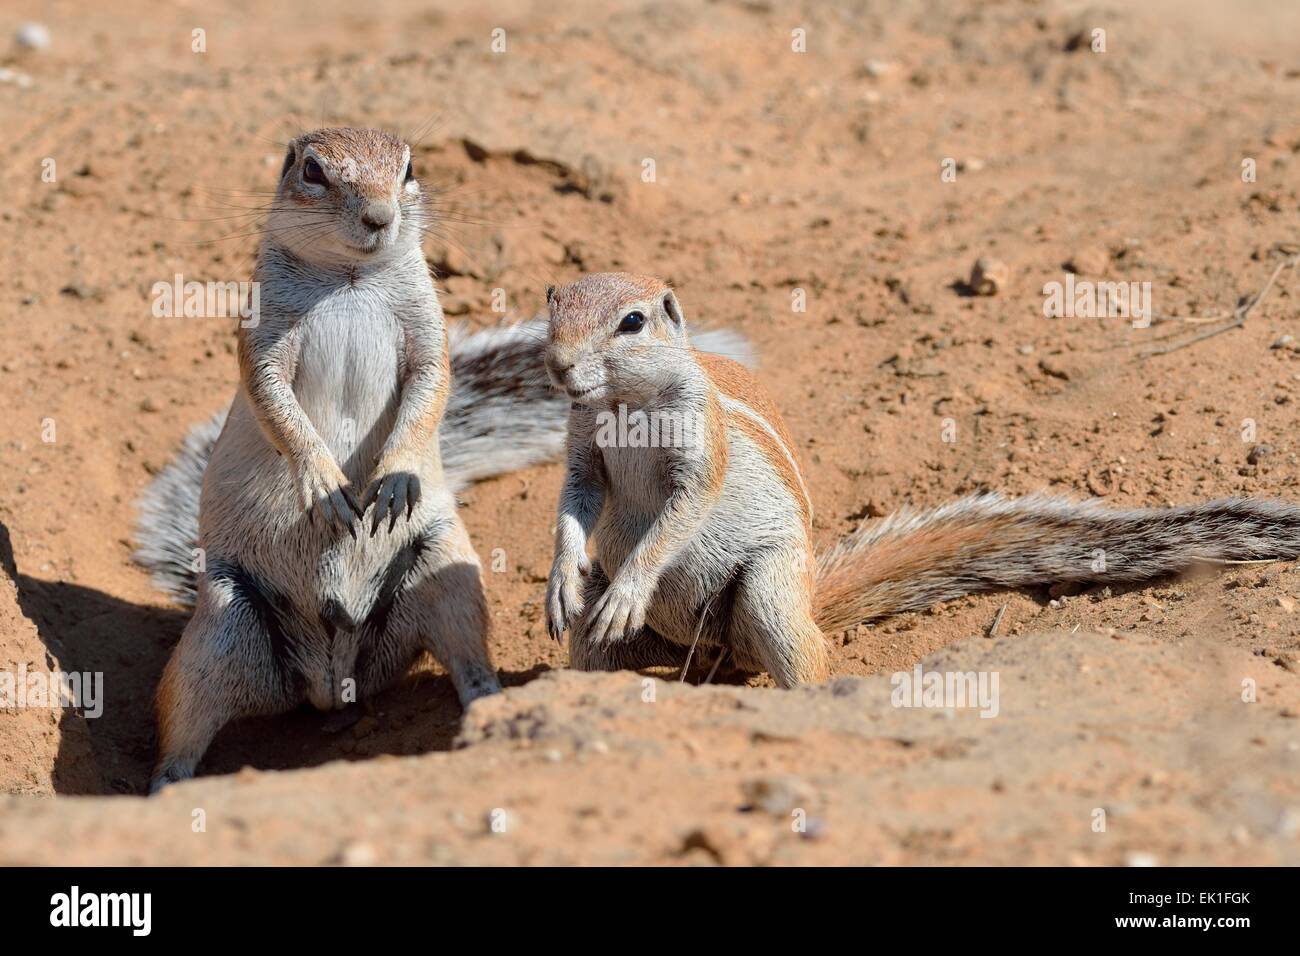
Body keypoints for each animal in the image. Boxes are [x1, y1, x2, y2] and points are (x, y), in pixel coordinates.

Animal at [137, 131, 750, 791]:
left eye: (409, 168)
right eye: (312, 171)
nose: (380, 217)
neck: (351, 279)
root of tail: (330, 679)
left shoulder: (427, 331)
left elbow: (432, 386)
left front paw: (395, 474)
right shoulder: (261, 334)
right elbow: (272, 400)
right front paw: (321, 476)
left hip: (446, 578)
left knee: (465, 660)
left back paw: (489, 704)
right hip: (223, 628)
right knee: (186, 719)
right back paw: (167, 782)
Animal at [542, 272, 1300, 686]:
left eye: (631, 321)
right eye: (550, 307)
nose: (556, 365)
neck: (624, 406)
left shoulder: (698, 443)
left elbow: (683, 508)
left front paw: (634, 583)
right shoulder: (581, 443)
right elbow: (578, 500)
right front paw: (559, 580)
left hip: (768, 591)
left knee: (800, 650)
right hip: (626, 641)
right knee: (593, 640)